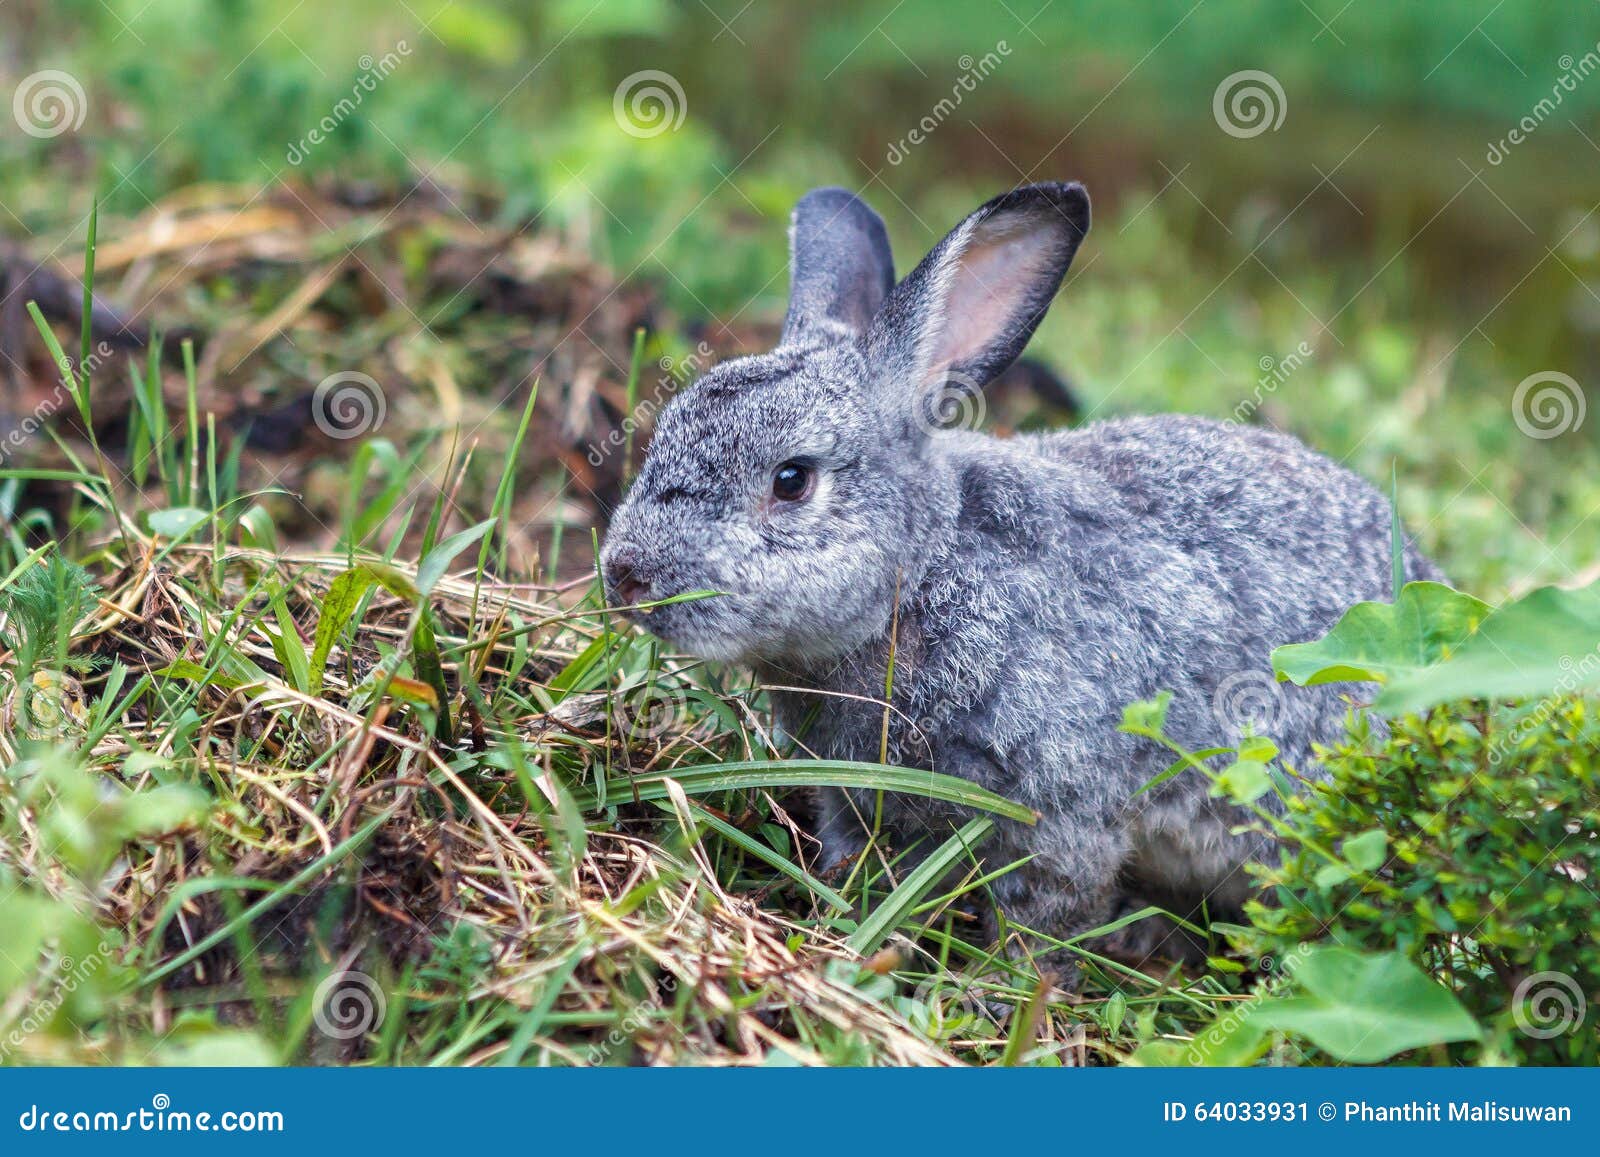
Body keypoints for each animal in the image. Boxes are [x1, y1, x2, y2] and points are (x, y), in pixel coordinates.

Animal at [600, 182, 1441, 979]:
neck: (926, 572)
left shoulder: (1062, 810)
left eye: (792, 479)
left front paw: (1000, 988)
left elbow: (1044, 917)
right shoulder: (848, 792)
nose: (626, 574)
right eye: (664, 432)